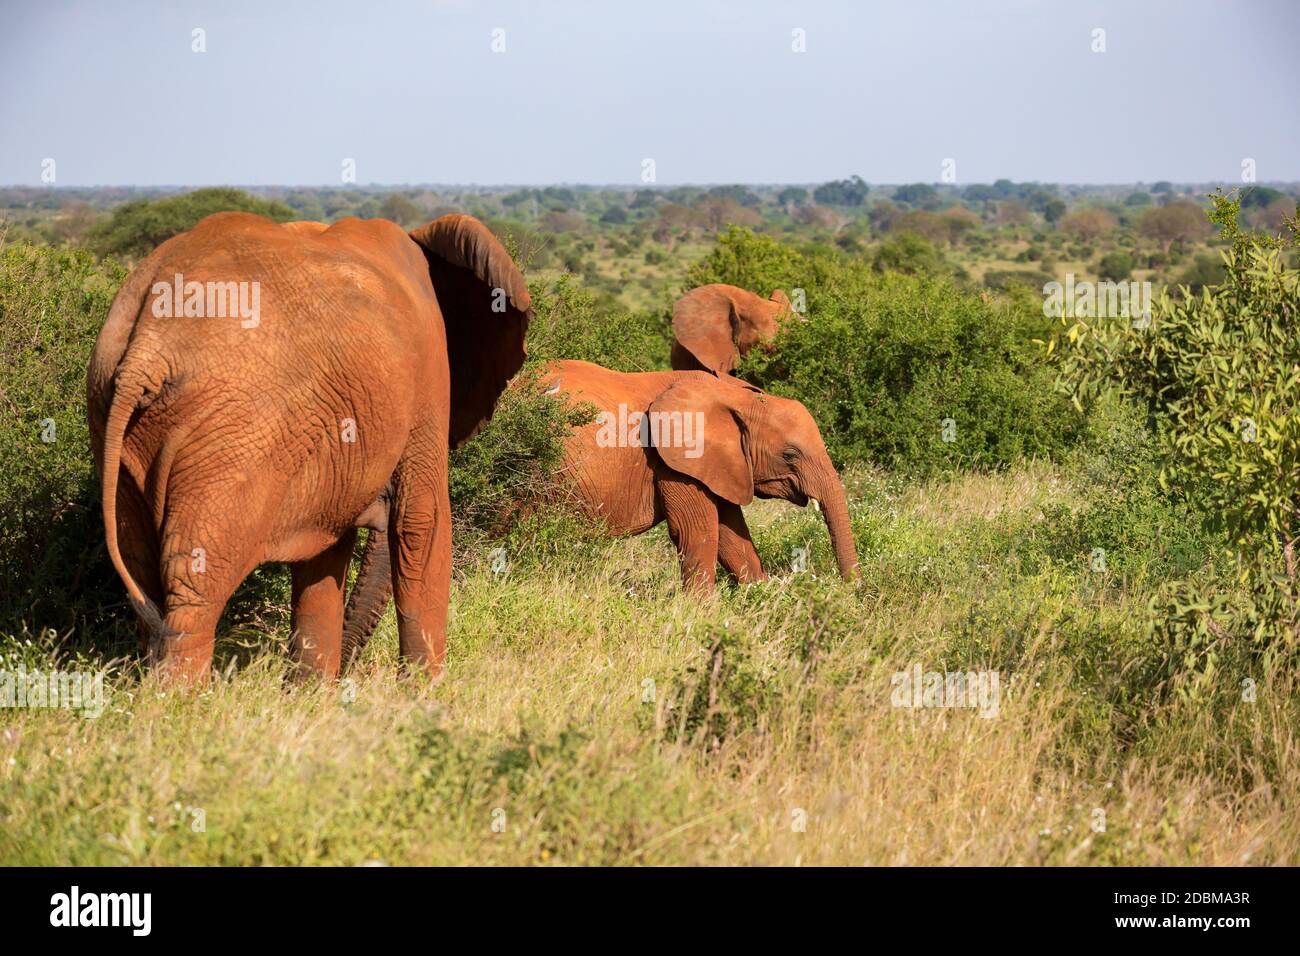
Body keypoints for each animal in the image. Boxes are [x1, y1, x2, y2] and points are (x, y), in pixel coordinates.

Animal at [87, 211, 531, 684]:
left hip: (112, 414)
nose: (347, 676)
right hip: (232, 435)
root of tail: (146, 349)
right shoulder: (428, 375)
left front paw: (309, 693)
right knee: (194, 584)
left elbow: (326, 551)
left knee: (142, 575)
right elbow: (420, 522)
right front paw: (423, 695)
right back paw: (179, 698)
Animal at [536, 359, 858, 591]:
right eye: (790, 454)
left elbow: (732, 535)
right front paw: (700, 612)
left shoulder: (721, 463)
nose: (847, 589)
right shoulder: (675, 461)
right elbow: (697, 530)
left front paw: (761, 597)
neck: (731, 394)